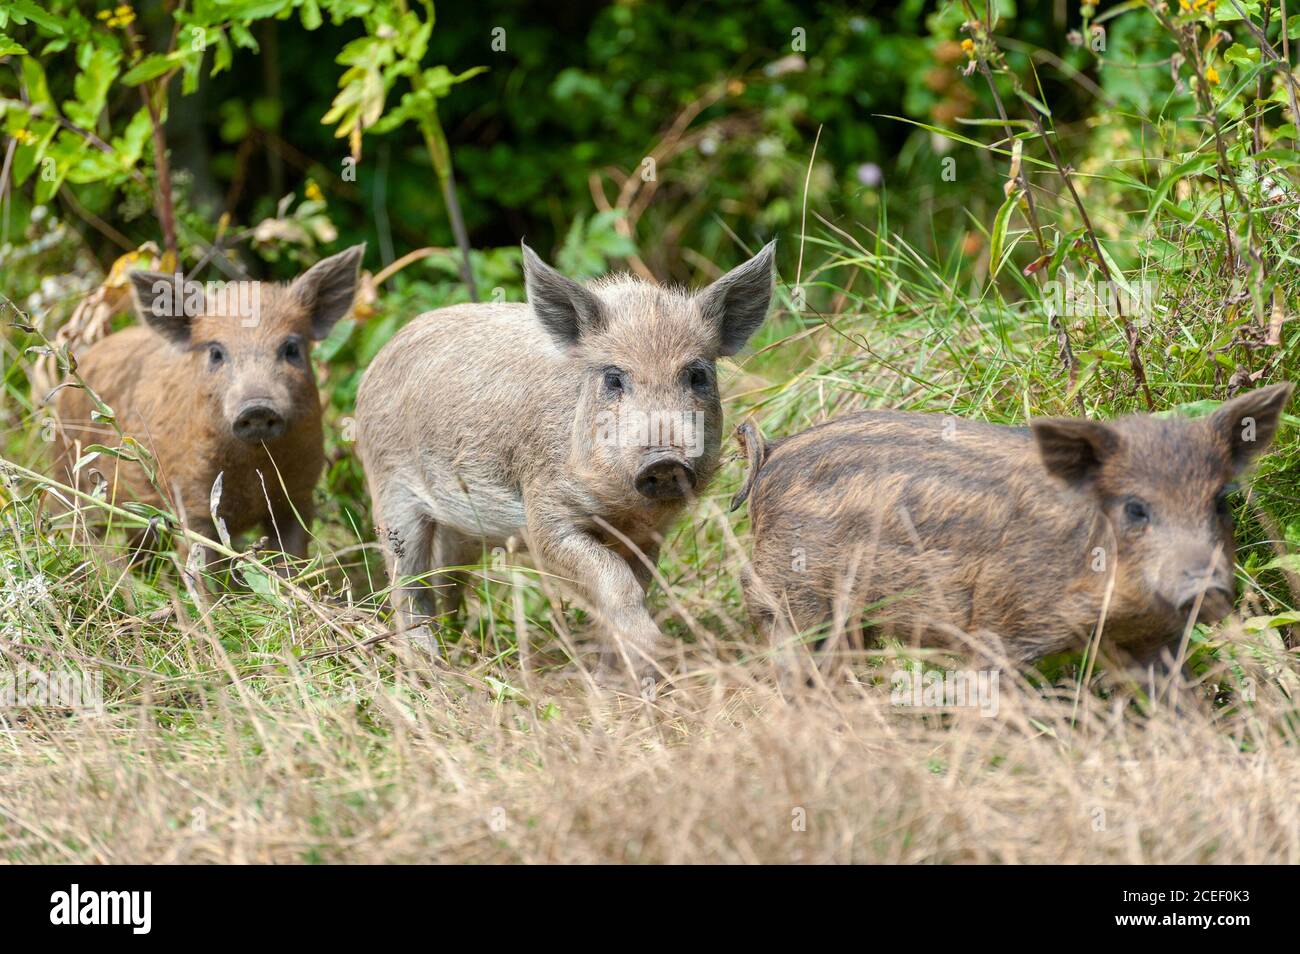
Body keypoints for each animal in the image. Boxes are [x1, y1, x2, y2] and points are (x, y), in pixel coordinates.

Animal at [53, 245, 365, 562]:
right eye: (216, 352)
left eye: (290, 348)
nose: (257, 406)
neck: (254, 468)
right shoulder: (190, 498)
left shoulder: (299, 495)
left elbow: (291, 558)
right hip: (69, 472)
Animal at [354, 241, 775, 675]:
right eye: (613, 378)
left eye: (696, 375)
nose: (664, 461)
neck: (621, 509)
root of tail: (374, 365)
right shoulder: (545, 516)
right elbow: (614, 581)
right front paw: (651, 652)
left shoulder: (649, 535)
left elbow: (635, 587)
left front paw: (614, 673)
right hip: (390, 491)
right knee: (407, 584)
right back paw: (429, 665)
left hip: (461, 527)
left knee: (447, 576)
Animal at [733, 383, 1293, 672]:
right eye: (1136, 508)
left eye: (1219, 500)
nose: (1205, 589)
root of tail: (772, 454)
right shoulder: (997, 632)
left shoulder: (1154, 641)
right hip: (796, 601)